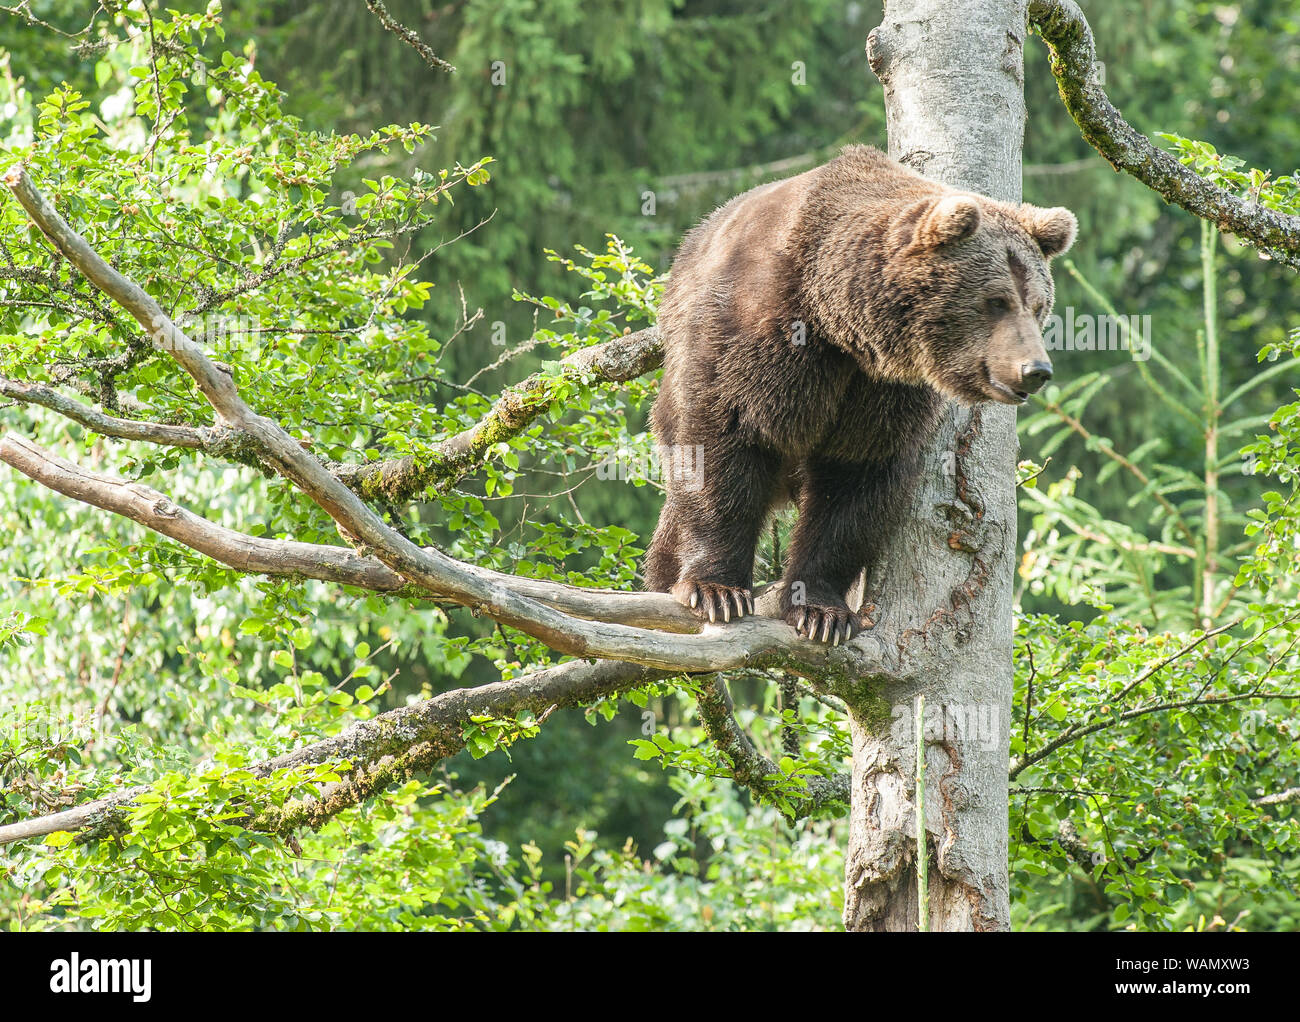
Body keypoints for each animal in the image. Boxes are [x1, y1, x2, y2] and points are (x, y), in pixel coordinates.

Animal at [644, 144, 1076, 644]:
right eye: (995, 301)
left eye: (1038, 305)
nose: (1036, 370)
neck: (838, 321)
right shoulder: (751, 334)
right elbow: (720, 446)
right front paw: (716, 589)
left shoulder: (881, 393)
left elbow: (854, 486)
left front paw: (822, 611)